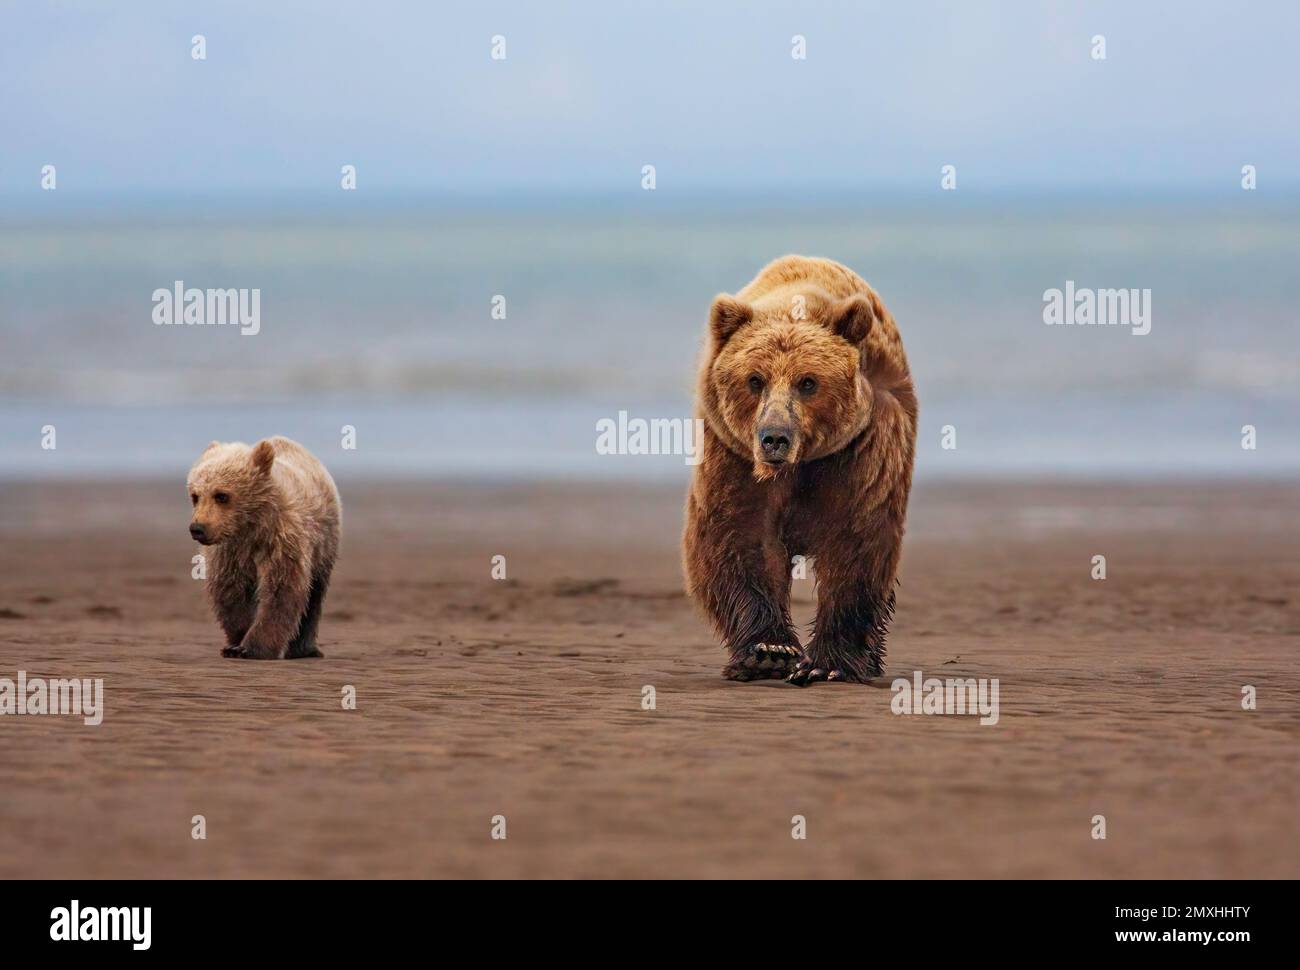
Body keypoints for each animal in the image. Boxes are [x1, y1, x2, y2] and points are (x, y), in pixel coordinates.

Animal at [187, 436, 341, 660]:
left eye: (221, 495)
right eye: (195, 496)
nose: (197, 528)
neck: (250, 527)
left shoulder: (282, 541)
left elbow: (281, 591)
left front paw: (252, 648)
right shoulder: (228, 552)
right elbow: (231, 594)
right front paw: (235, 643)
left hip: (324, 543)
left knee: (314, 596)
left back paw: (304, 648)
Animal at [683, 255, 917, 685]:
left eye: (808, 382)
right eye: (754, 379)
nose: (774, 437)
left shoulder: (862, 449)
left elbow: (856, 540)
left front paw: (828, 663)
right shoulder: (733, 455)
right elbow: (739, 536)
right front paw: (769, 651)